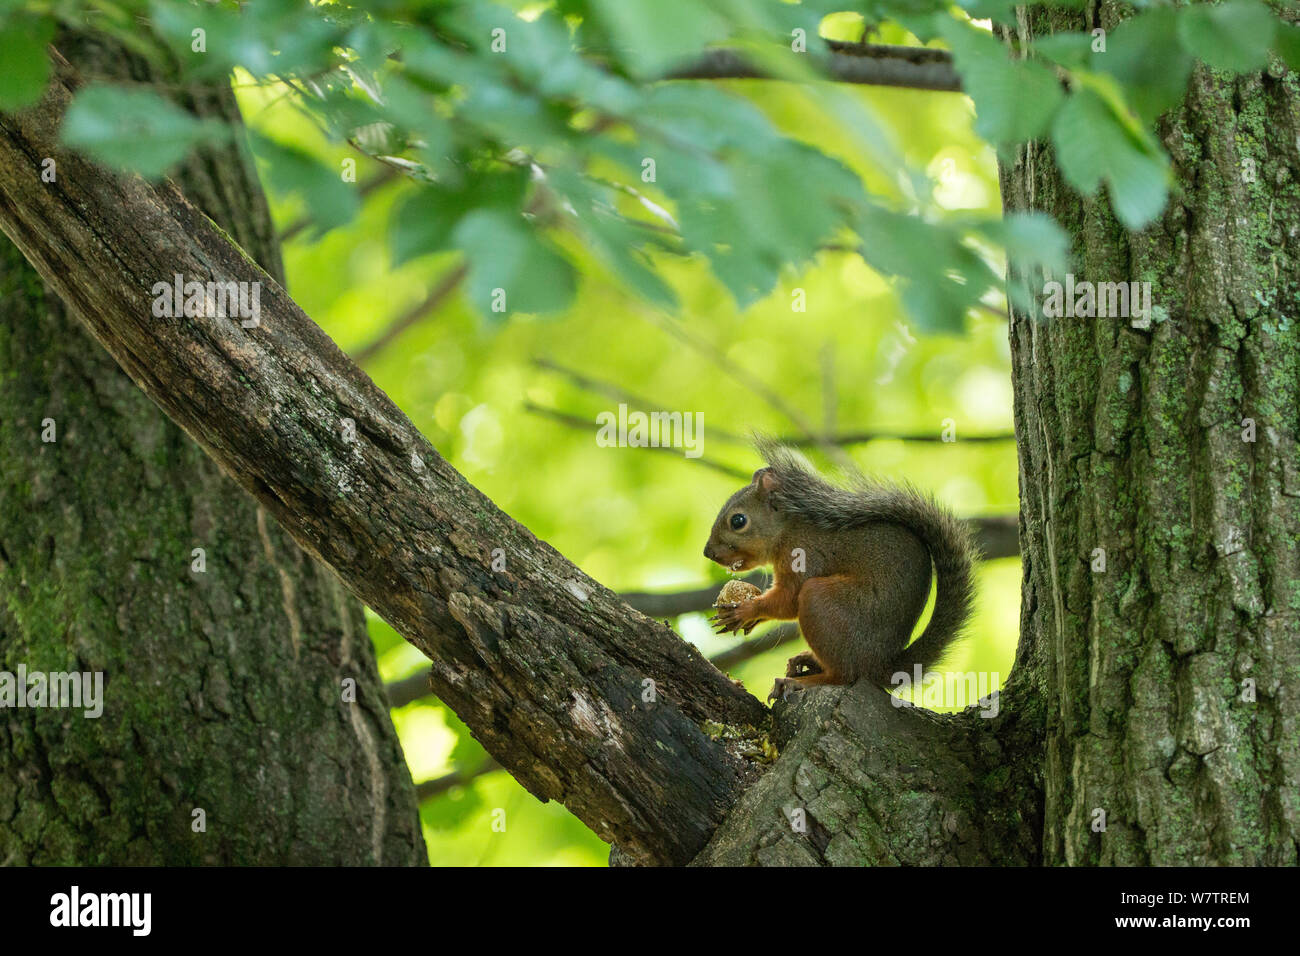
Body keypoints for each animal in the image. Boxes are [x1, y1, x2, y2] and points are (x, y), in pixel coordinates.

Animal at [703, 439, 977, 703]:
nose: (708, 552)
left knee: (844, 675)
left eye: (738, 521)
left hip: (821, 601)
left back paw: (801, 682)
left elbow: (788, 601)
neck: (788, 529)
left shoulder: (805, 557)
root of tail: (878, 665)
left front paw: (745, 610)